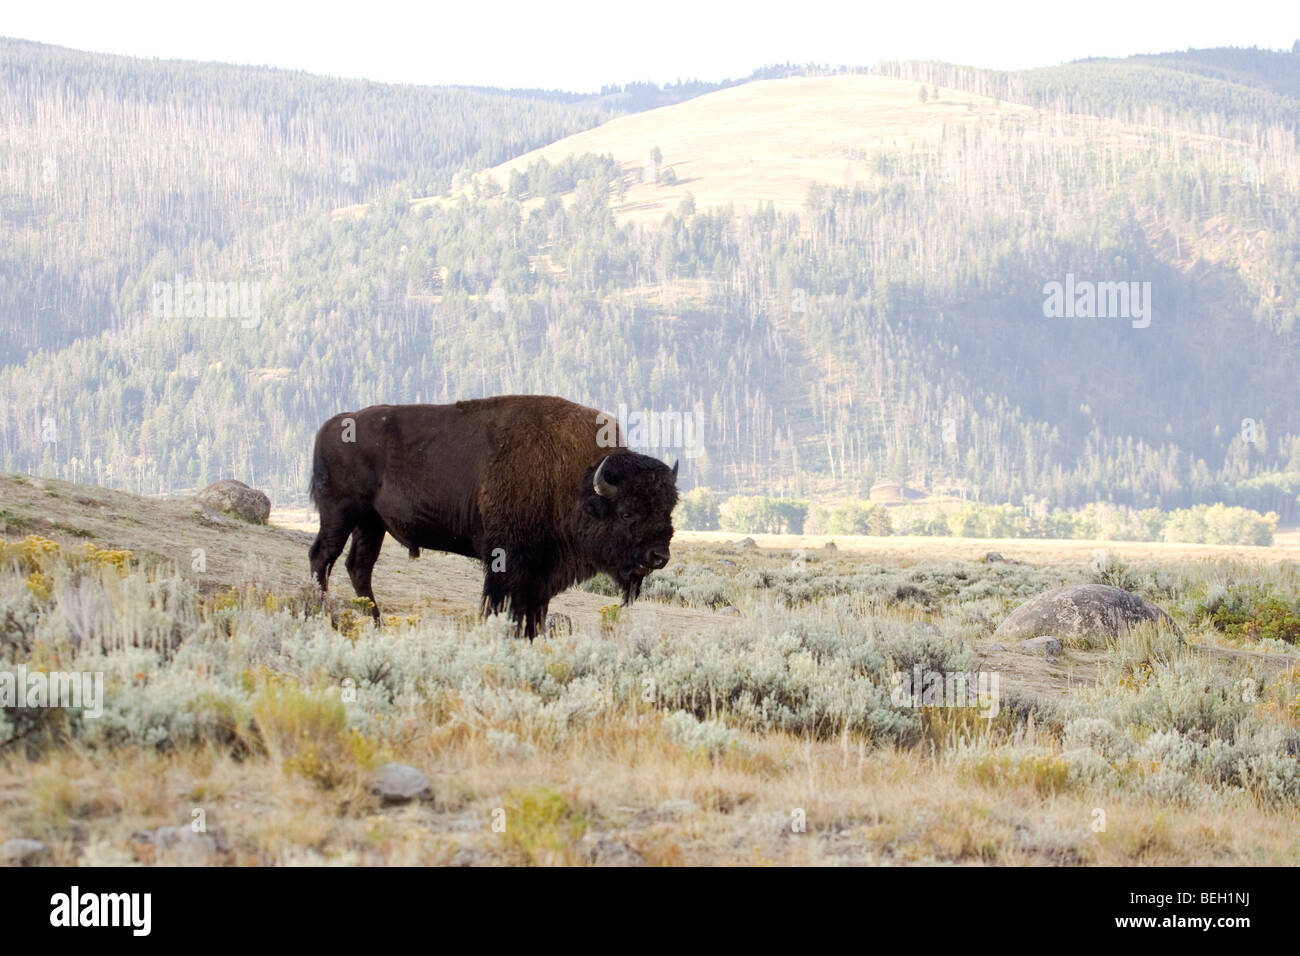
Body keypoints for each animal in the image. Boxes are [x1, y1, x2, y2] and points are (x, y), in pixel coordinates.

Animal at [308, 395, 678, 638]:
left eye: (669, 510)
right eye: (628, 512)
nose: (658, 556)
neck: (576, 482)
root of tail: (333, 424)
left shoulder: (542, 572)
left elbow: (535, 612)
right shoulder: (508, 561)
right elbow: (504, 606)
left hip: (371, 523)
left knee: (359, 566)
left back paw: (376, 623)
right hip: (340, 512)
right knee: (322, 557)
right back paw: (322, 613)